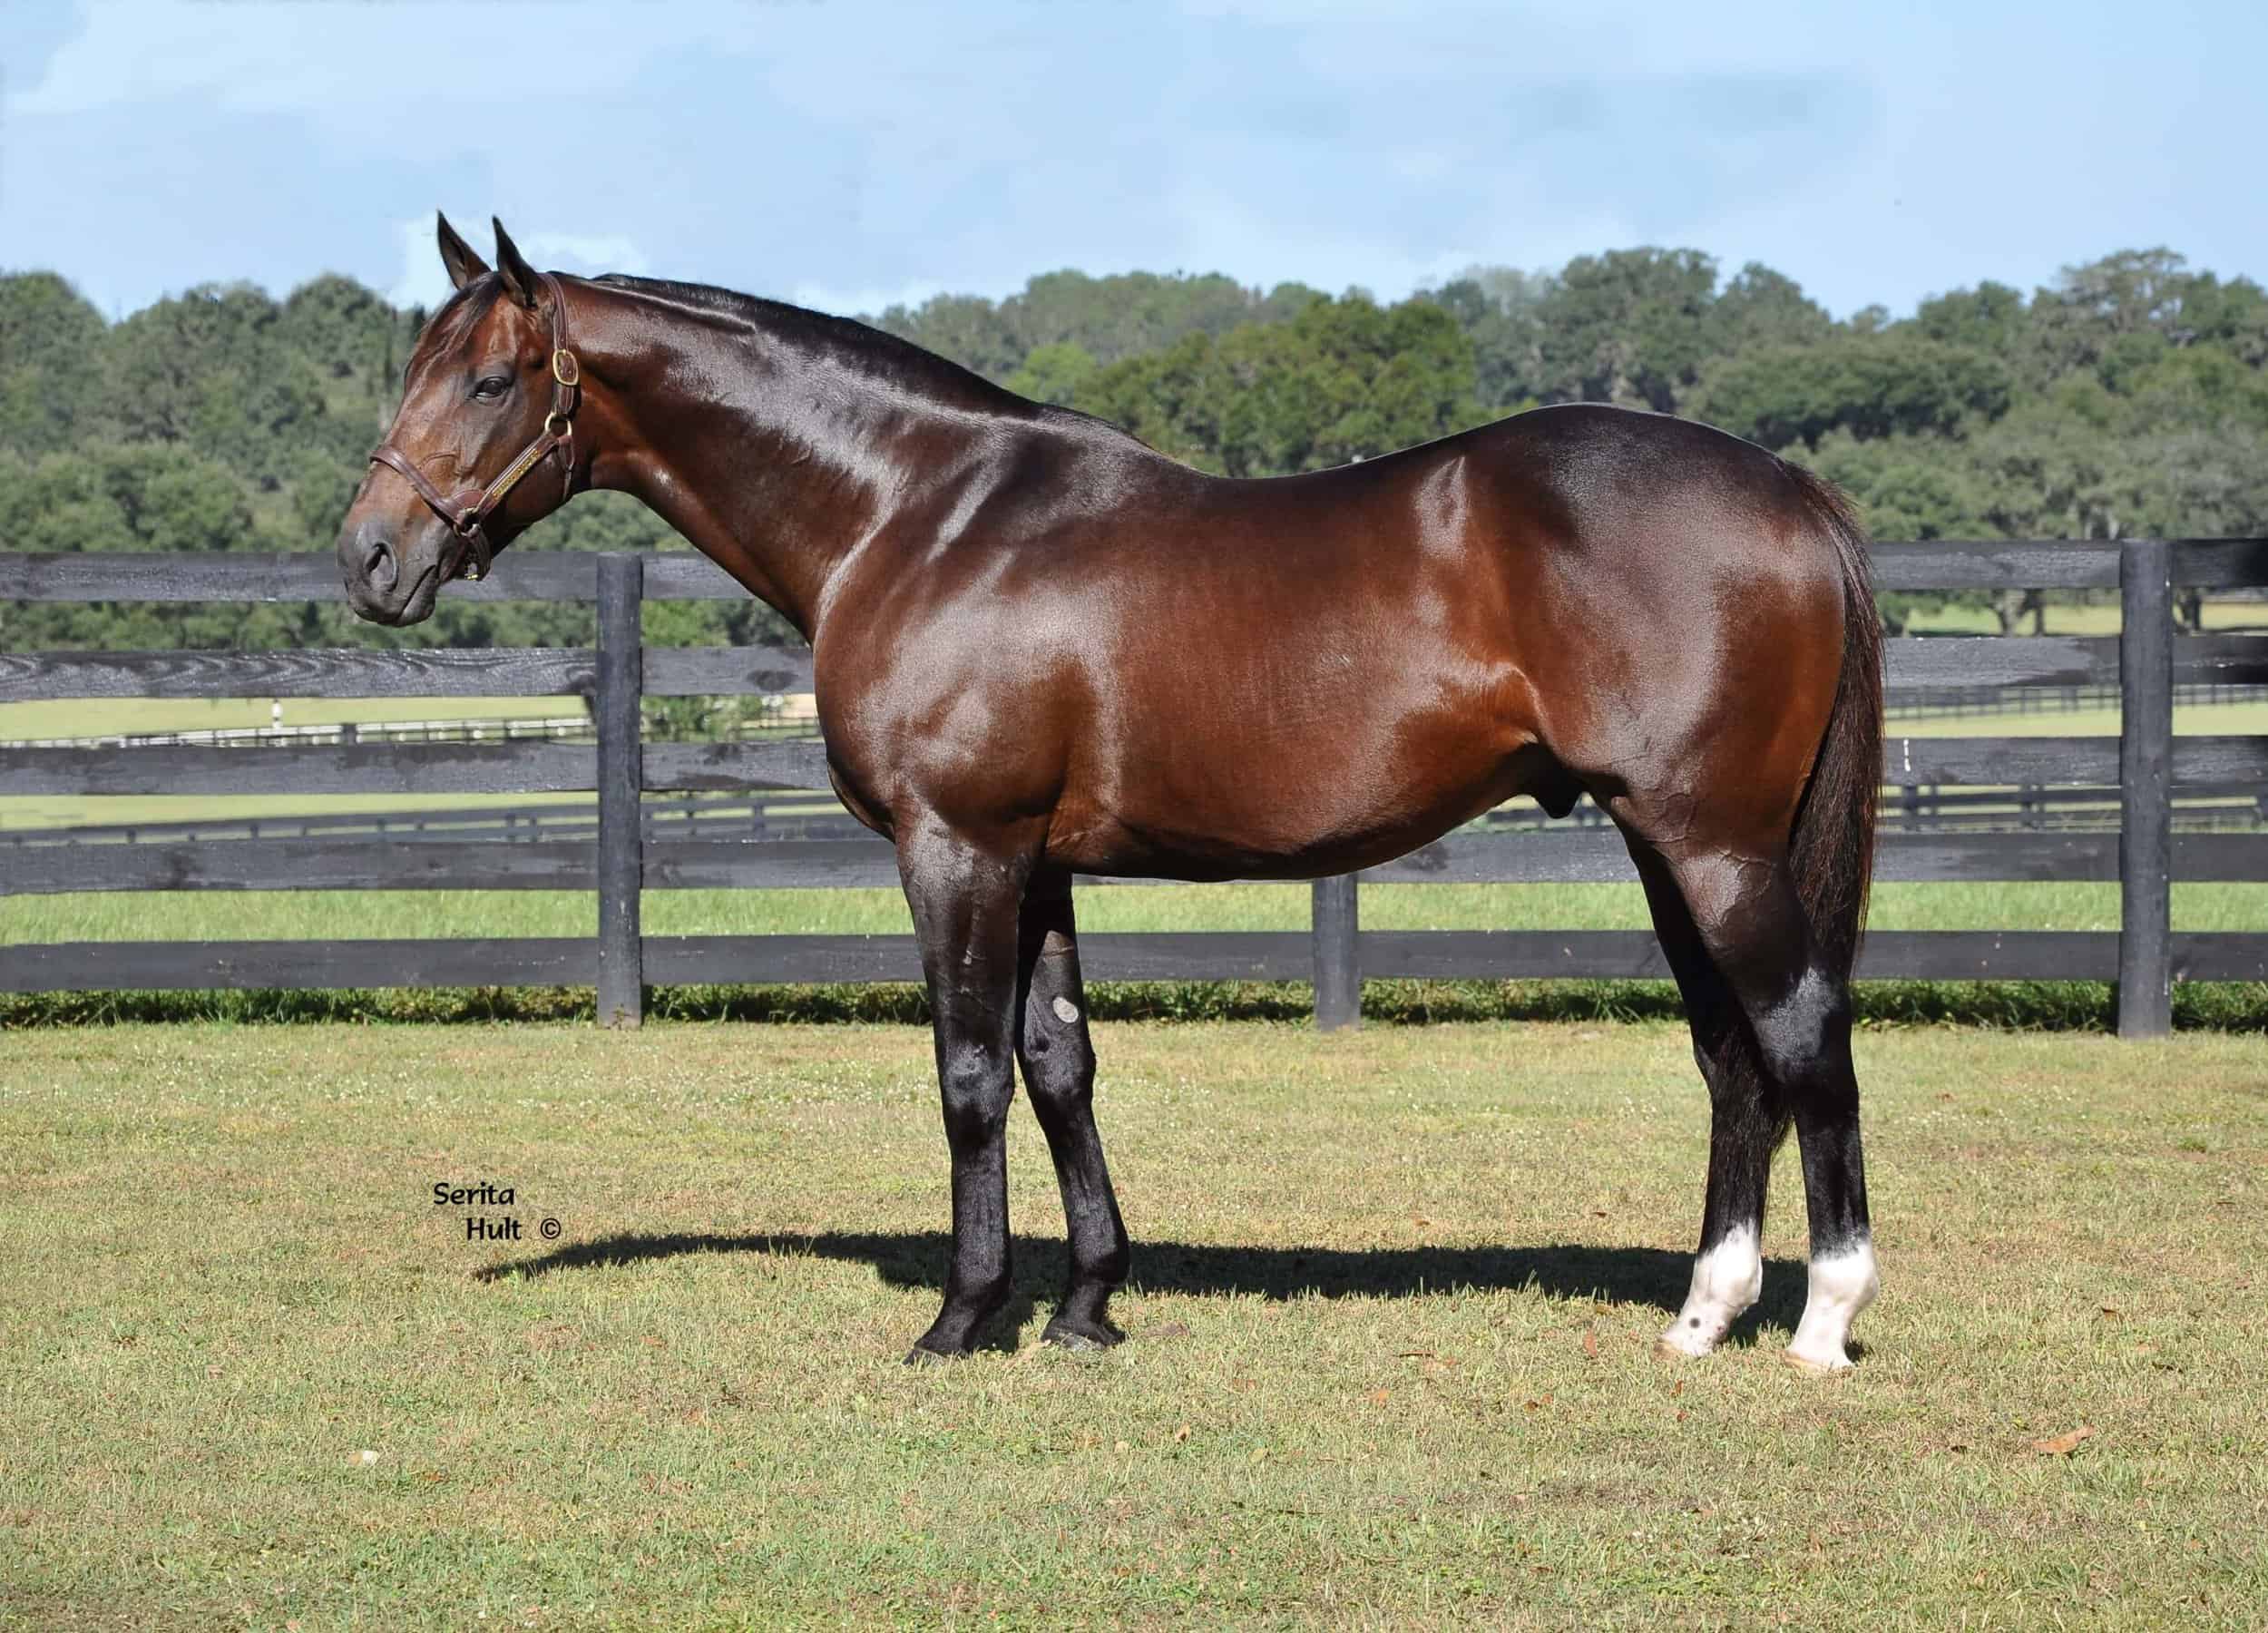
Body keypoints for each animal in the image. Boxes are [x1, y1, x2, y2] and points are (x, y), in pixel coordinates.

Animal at [338, 215, 1886, 1372]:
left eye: (488, 382)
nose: (368, 557)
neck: (919, 515)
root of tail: (1792, 495)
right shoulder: (1038, 857)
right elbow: (1060, 1061)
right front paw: (1086, 1304)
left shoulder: (955, 845)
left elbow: (969, 1072)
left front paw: (964, 1316)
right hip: (1669, 846)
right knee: (1731, 1054)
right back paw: (1705, 1312)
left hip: (1711, 844)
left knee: (1800, 1032)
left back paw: (1823, 1320)